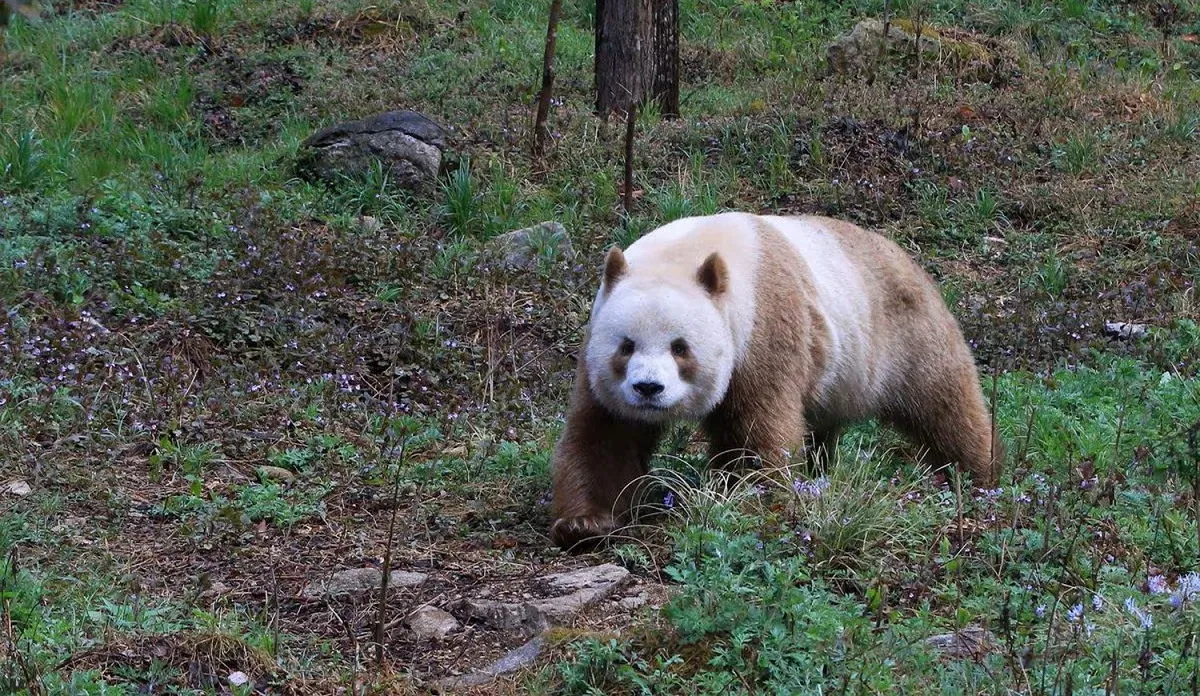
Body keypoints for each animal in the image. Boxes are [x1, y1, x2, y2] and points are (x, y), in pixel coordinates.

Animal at [549, 212, 1004, 551]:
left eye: (680, 348)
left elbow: (756, 430)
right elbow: (605, 434)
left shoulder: (762, 327)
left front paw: (747, 501)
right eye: (626, 346)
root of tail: (904, 255)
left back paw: (979, 476)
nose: (648, 389)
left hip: (900, 334)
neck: (688, 253)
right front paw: (584, 525)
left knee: (943, 403)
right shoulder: (597, 350)